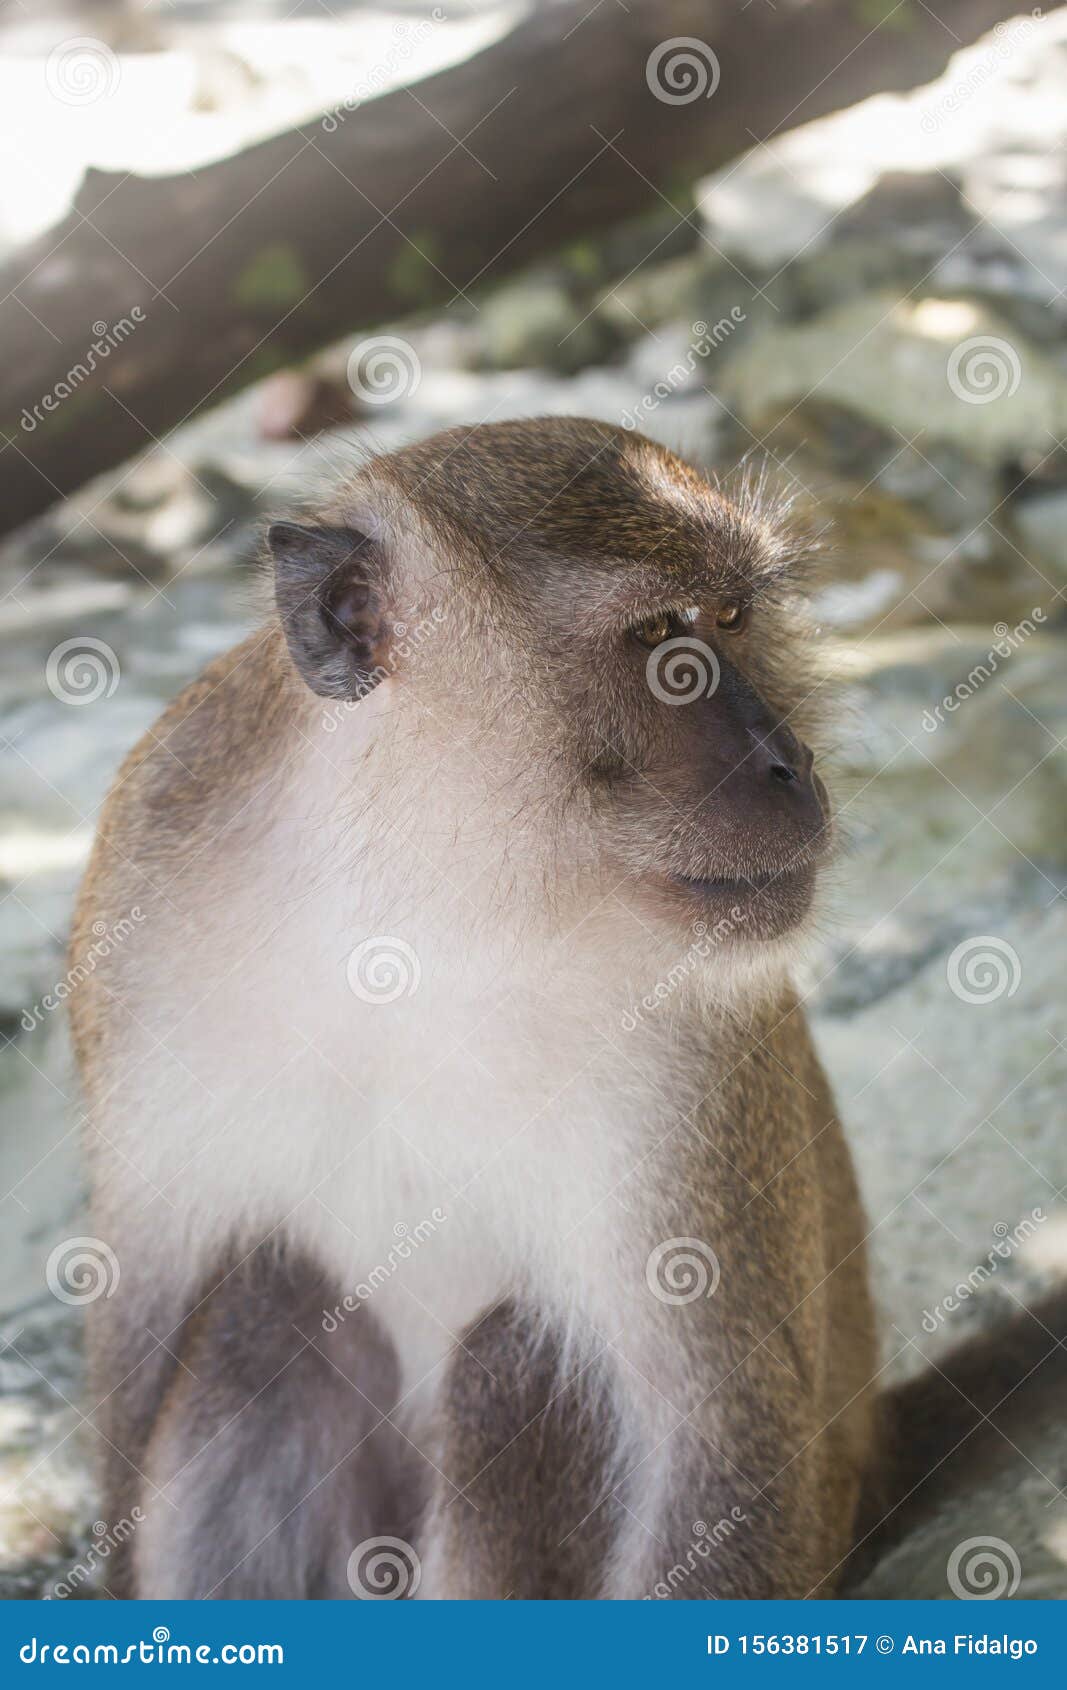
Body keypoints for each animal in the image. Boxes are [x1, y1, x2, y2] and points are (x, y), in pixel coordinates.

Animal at [67, 416, 882, 1600]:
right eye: (659, 641)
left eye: (732, 620)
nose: (791, 762)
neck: (415, 908)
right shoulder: (138, 898)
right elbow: (141, 1335)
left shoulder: (692, 1049)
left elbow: (724, 1446)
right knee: (264, 1309)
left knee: (516, 1361)